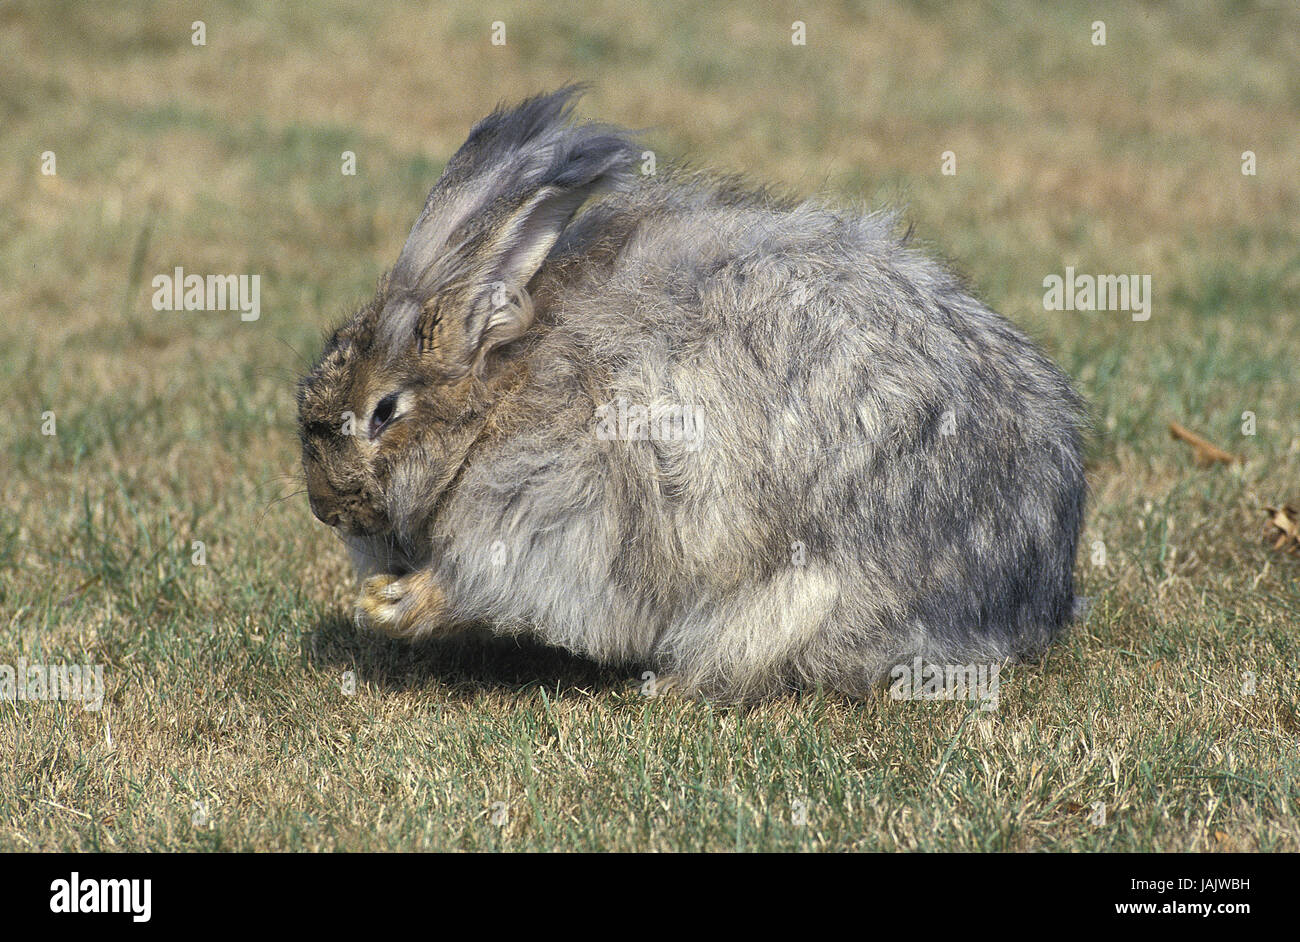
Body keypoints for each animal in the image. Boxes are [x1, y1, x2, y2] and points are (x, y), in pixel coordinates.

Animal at [297, 86, 1087, 702]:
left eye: (384, 411)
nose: (324, 508)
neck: (491, 407)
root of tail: (1028, 597)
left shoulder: (556, 514)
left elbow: (486, 585)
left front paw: (393, 603)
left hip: (799, 594)